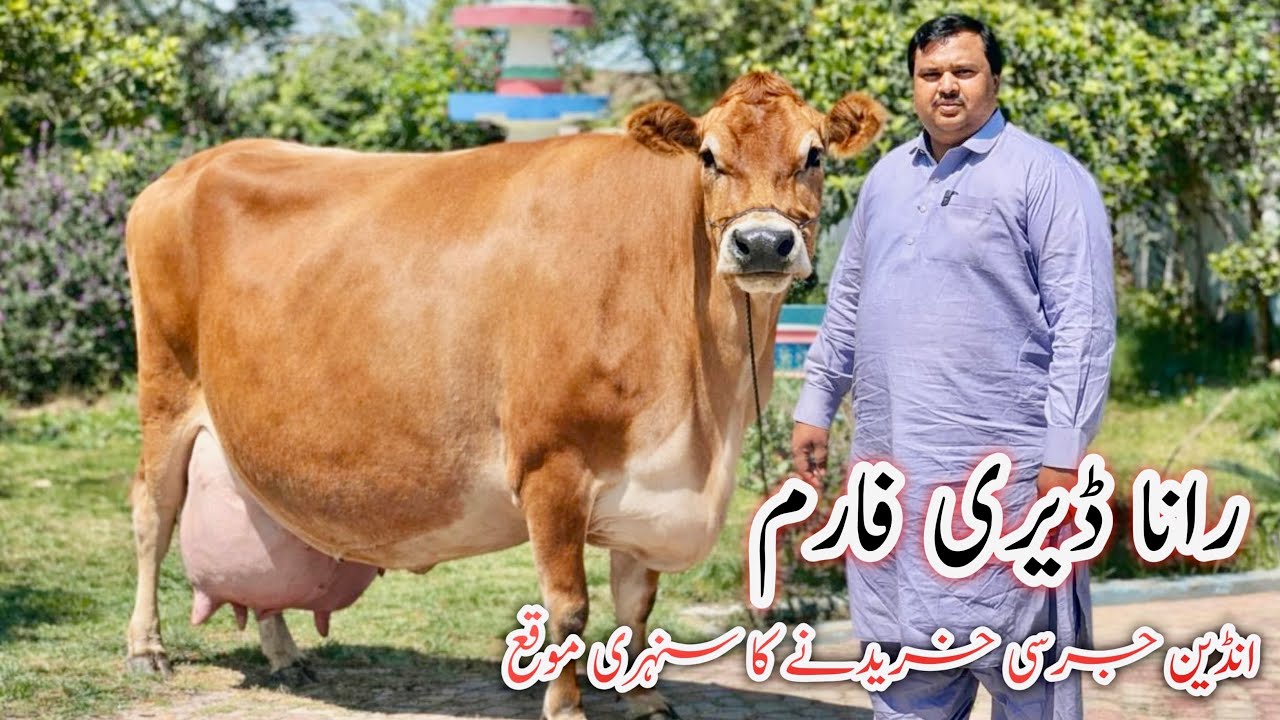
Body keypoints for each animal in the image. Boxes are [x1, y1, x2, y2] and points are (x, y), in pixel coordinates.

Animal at [123, 71, 885, 719]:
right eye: (708, 157)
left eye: (814, 154)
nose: (763, 243)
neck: (705, 416)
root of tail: (189, 168)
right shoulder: (552, 466)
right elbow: (570, 608)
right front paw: (567, 707)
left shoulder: (651, 480)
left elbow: (635, 604)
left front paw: (646, 700)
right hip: (164, 384)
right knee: (153, 512)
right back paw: (146, 648)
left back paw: (284, 653)